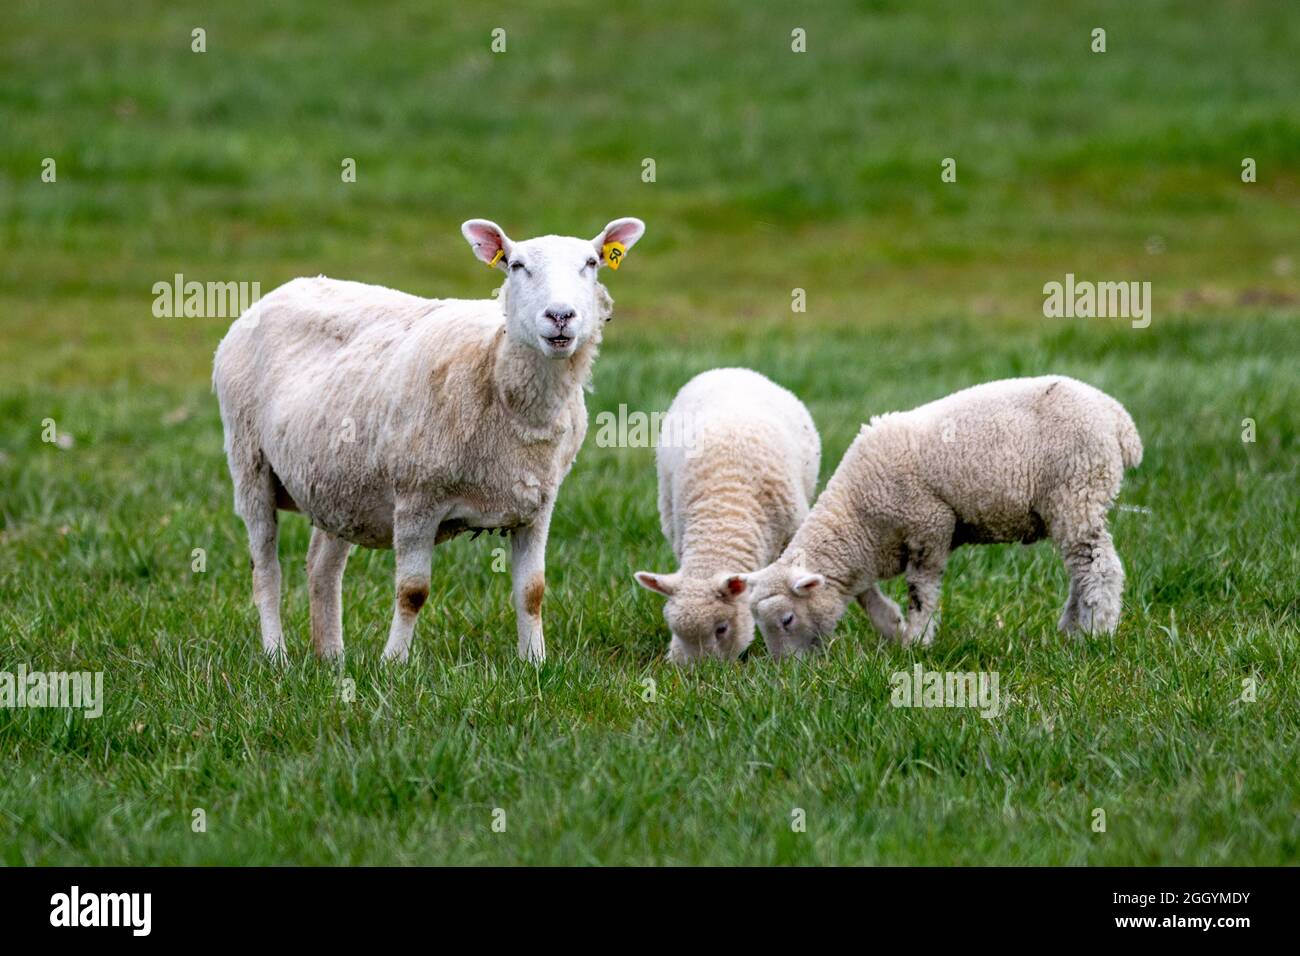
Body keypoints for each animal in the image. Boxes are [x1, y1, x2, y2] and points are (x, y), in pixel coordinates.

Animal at [212, 217, 646, 663]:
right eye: (516, 265)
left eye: (591, 263)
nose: (560, 315)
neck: (496, 375)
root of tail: (279, 291)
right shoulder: (416, 498)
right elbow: (412, 592)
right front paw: (393, 664)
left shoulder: (537, 505)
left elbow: (532, 591)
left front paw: (535, 663)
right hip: (250, 462)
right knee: (266, 570)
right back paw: (276, 654)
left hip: (338, 485)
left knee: (321, 568)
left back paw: (331, 658)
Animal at [633, 367, 903, 662]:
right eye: (674, 628)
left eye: (722, 628)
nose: (694, 671)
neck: (723, 508)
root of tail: (728, 369)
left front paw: (890, 625)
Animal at [734, 375, 1143, 658]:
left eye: (787, 619)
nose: (787, 672)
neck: (857, 517)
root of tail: (1118, 419)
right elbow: (870, 595)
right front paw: (895, 628)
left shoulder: (928, 527)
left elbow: (921, 590)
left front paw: (915, 641)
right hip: (1069, 505)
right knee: (1080, 571)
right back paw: (1073, 629)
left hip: (1078, 491)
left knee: (1100, 569)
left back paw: (1097, 632)